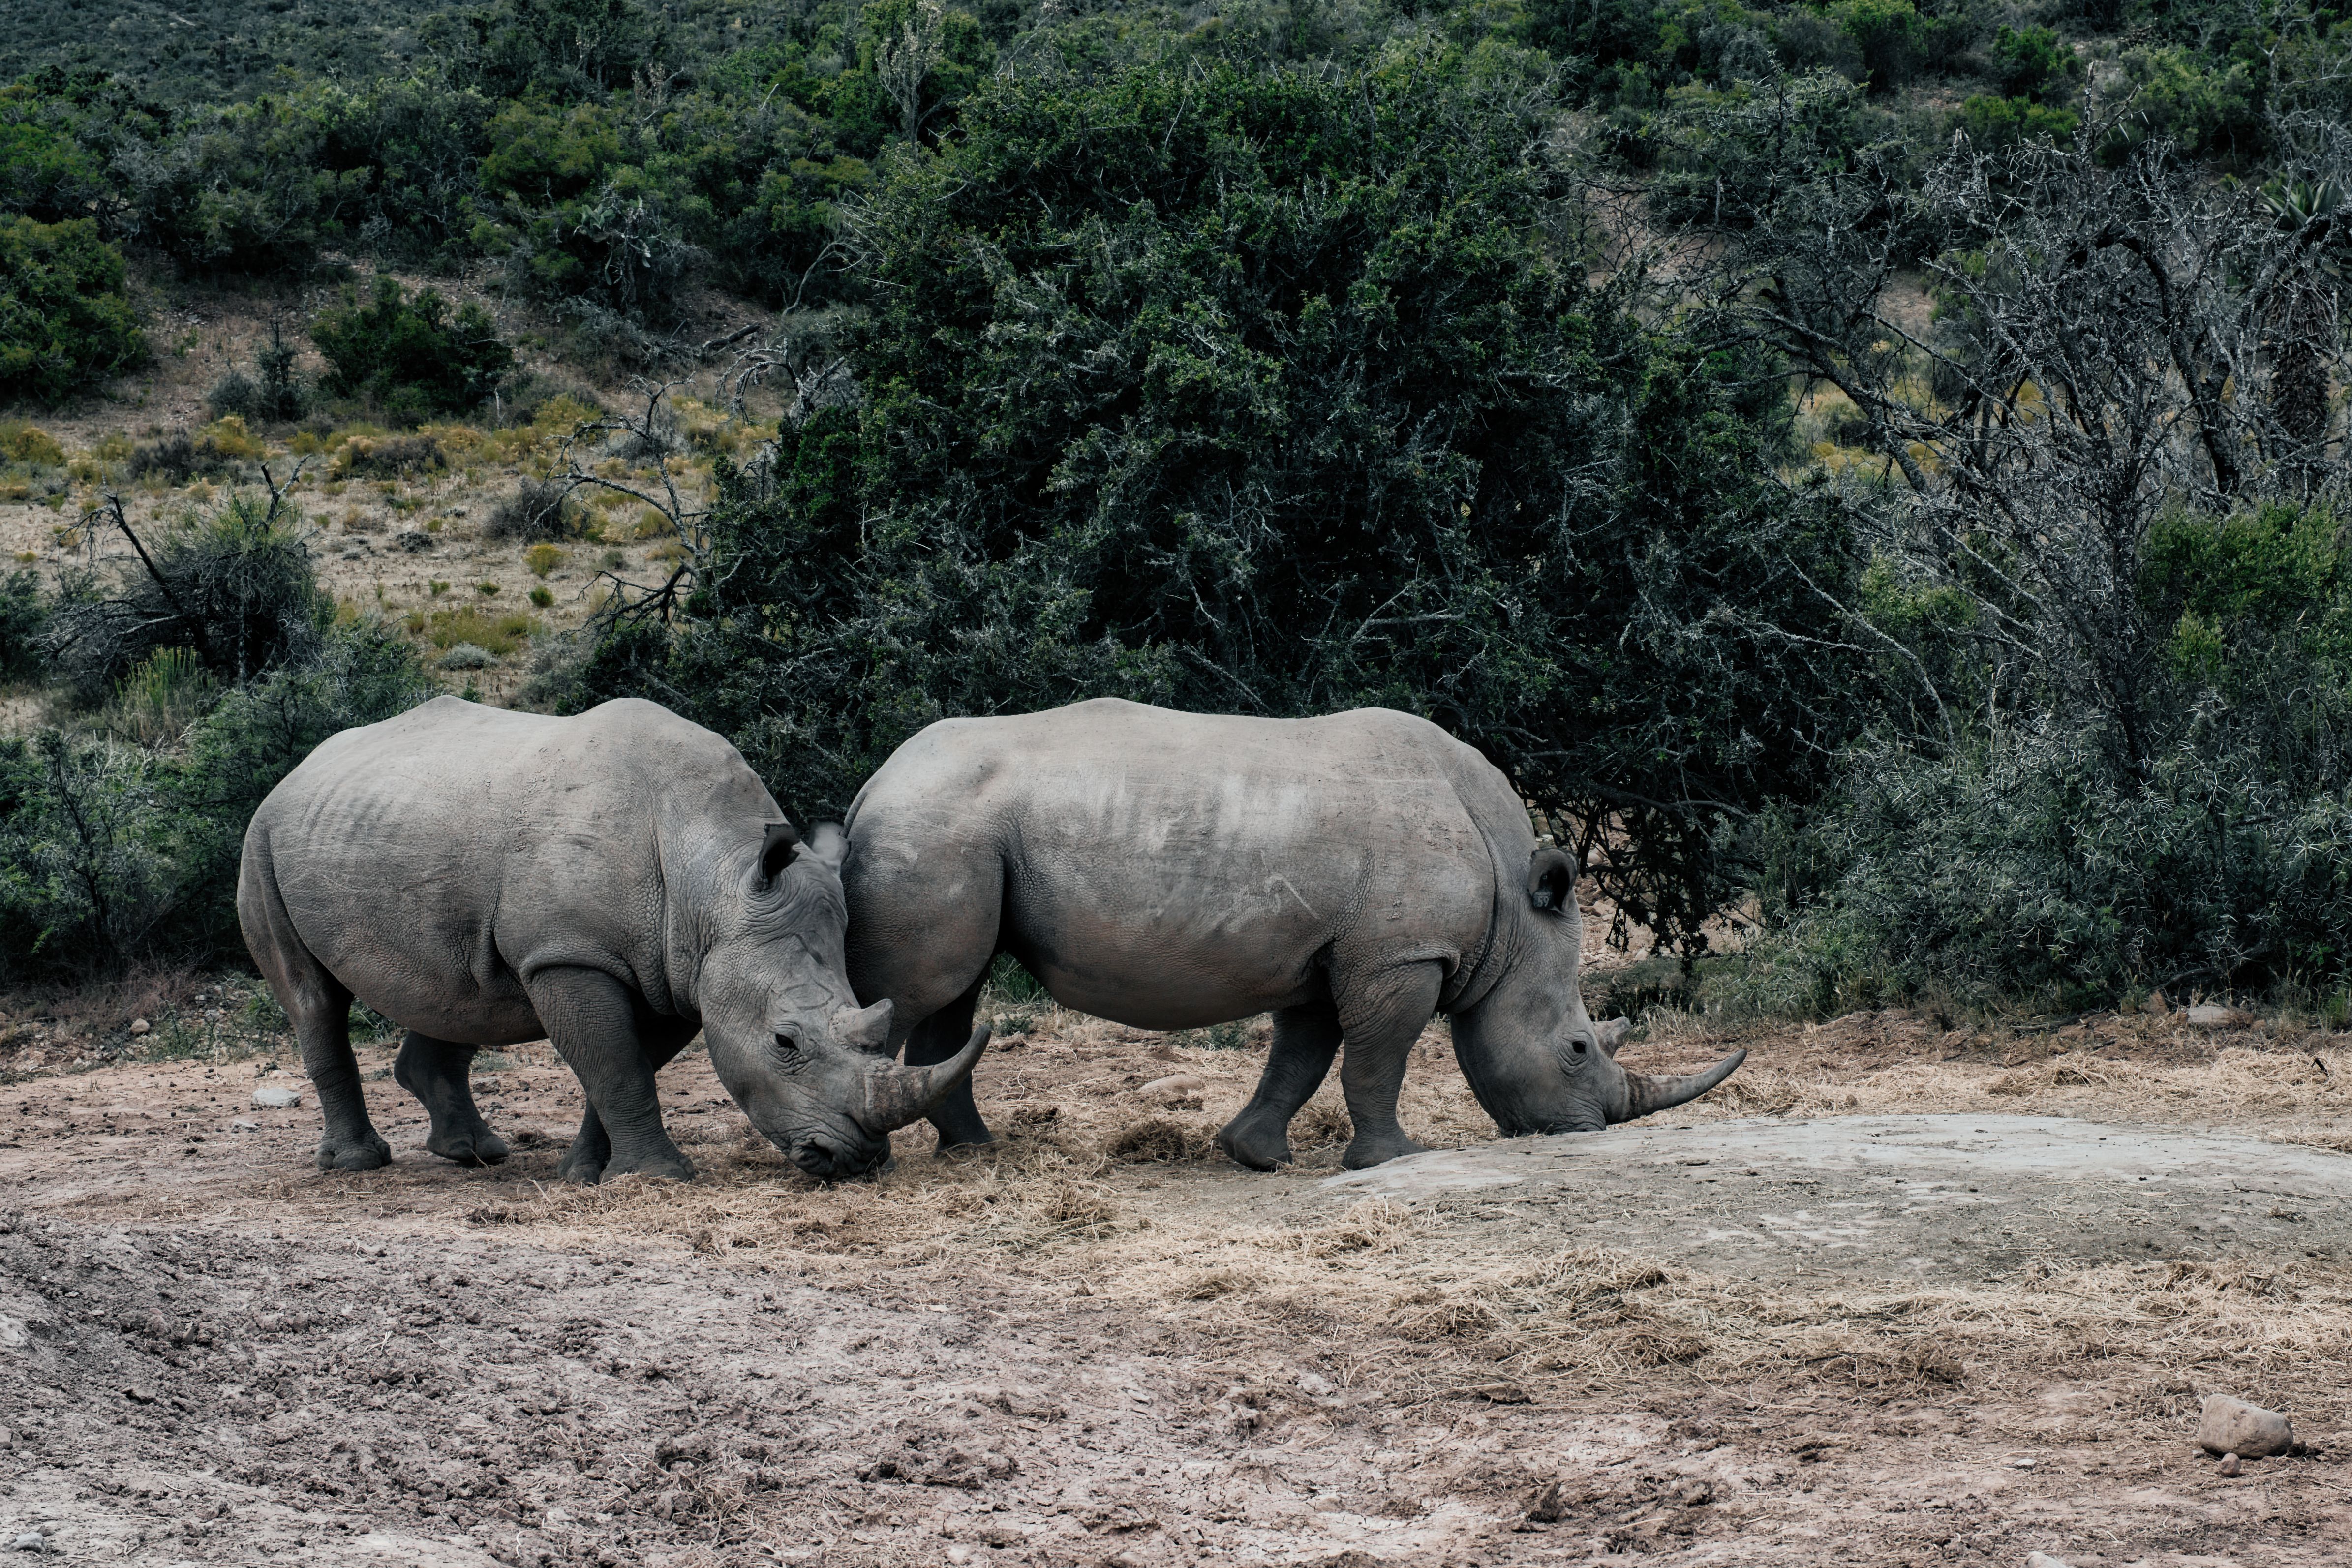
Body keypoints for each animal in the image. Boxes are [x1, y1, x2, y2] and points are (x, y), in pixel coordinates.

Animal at [237, 696, 985, 1182]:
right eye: (784, 1042)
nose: (854, 1161)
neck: (714, 875)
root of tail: (300, 769)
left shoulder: (680, 969)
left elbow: (626, 1065)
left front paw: (582, 1172)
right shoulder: (571, 955)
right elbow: (615, 1063)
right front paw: (658, 1178)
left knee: (457, 991)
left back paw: (477, 1153)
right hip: (264, 839)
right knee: (313, 997)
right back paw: (357, 1164)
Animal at [842, 699, 1744, 1170]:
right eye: (1579, 1049)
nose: (1587, 1129)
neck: (1513, 911)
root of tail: (872, 784)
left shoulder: (1325, 954)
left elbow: (1301, 1056)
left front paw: (1256, 1154)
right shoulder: (1401, 955)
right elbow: (1378, 1058)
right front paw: (1396, 1158)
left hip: (956, 830)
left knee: (954, 995)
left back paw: (975, 1150)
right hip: (935, 824)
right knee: (910, 995)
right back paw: (862, 1155)